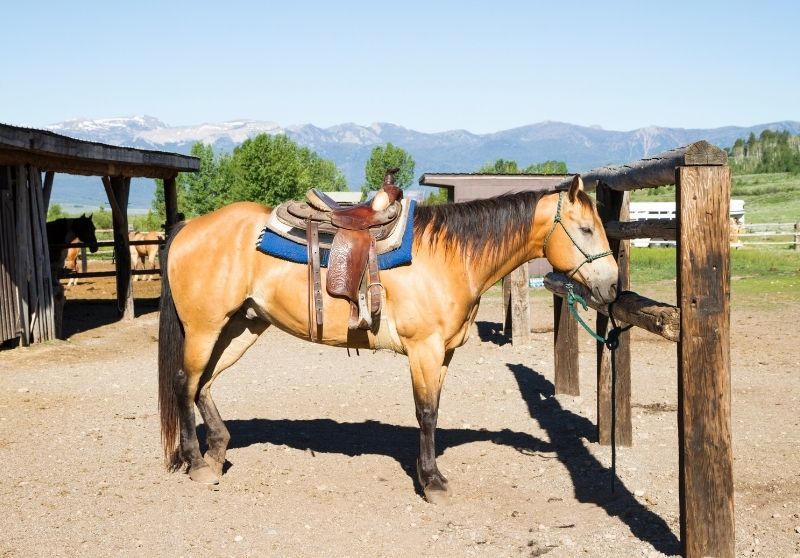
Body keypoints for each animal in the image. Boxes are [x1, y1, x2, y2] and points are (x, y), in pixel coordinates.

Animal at [157, 175, 619, 504]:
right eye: (585, 229)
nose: (612, 287)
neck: (451, 255)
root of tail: (188, 228)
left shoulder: (443, 353)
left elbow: (434, 410)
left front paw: (427, 472)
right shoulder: (424, 349)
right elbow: (426, 413)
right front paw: (432, 481)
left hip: (242, 325)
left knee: (204, 383)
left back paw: (217, 450)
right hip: (205, 327)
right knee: (184, 383)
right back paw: (196, 462)